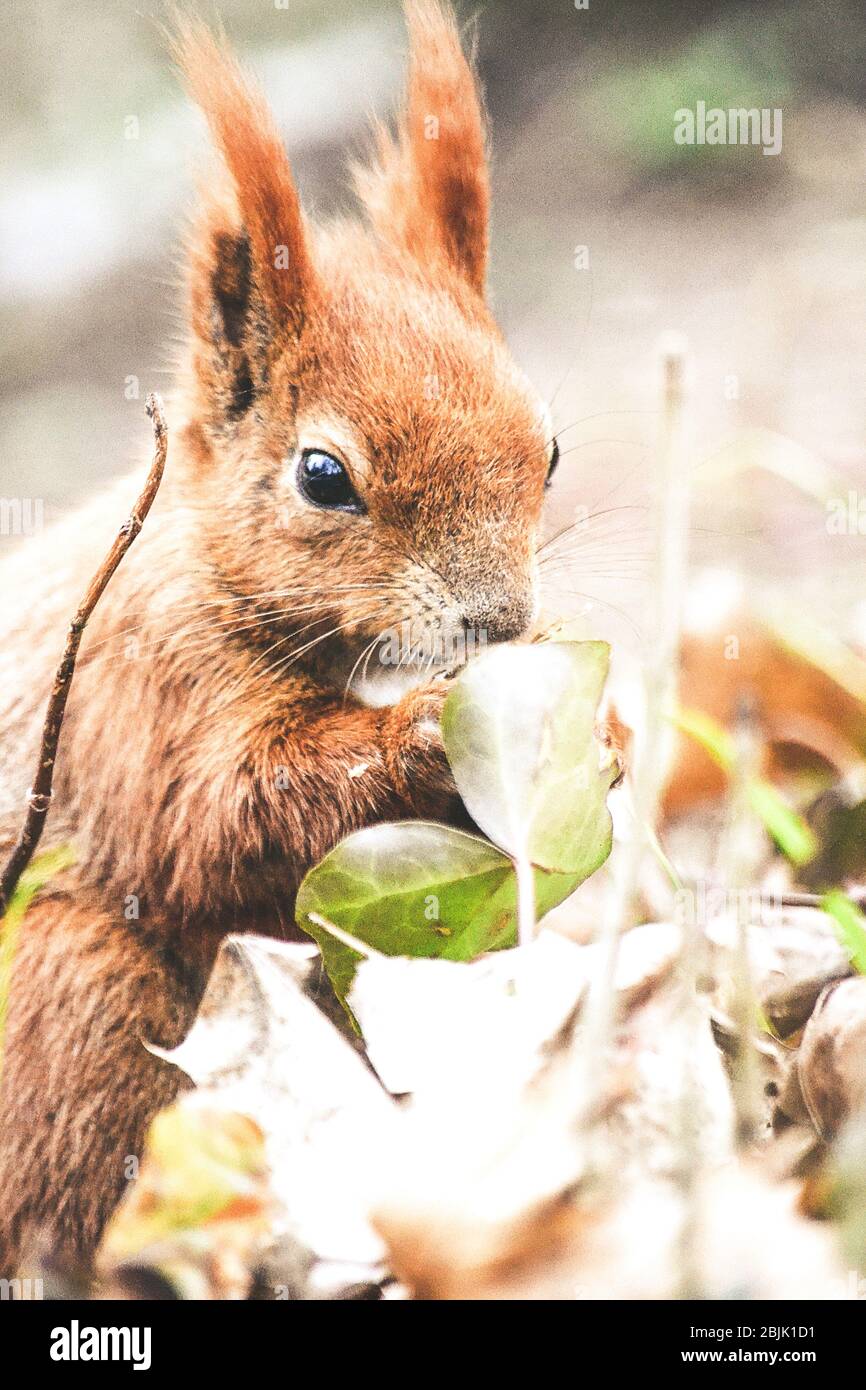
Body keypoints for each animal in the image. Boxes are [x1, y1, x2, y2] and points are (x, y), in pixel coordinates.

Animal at [0, 1, 563, 1271]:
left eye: (547, 448)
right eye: (321, 475)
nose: (501, 620)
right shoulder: (137, 691)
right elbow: (214, 820)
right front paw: (420, 733)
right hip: (72, 992)